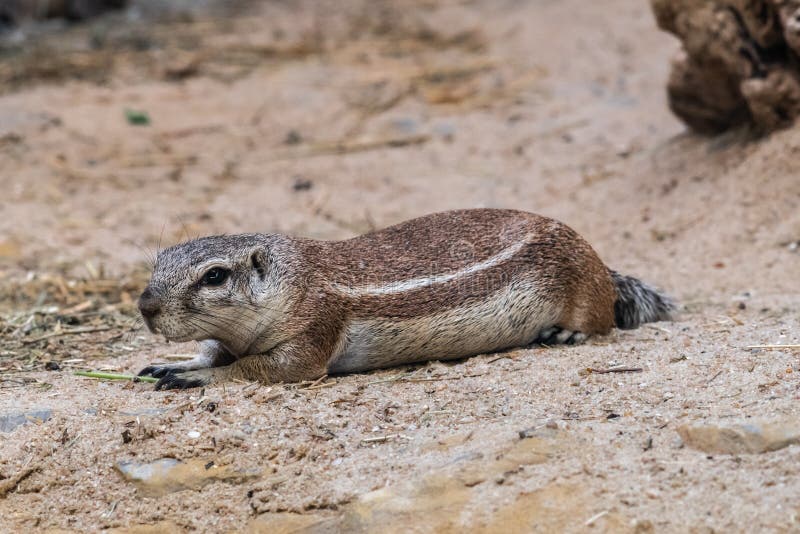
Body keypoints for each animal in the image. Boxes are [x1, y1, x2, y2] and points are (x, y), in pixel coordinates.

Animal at [137, 209, 674, 390]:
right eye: (158, 261)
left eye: (214, 276)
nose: (145, 307)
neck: (296, 277)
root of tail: (601, 265)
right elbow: (215, 351)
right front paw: (179, 361)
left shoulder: (315, 329)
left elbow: (259, 369)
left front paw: (198, 376)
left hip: (583, 289)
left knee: (600, 321)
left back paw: (566, 332)